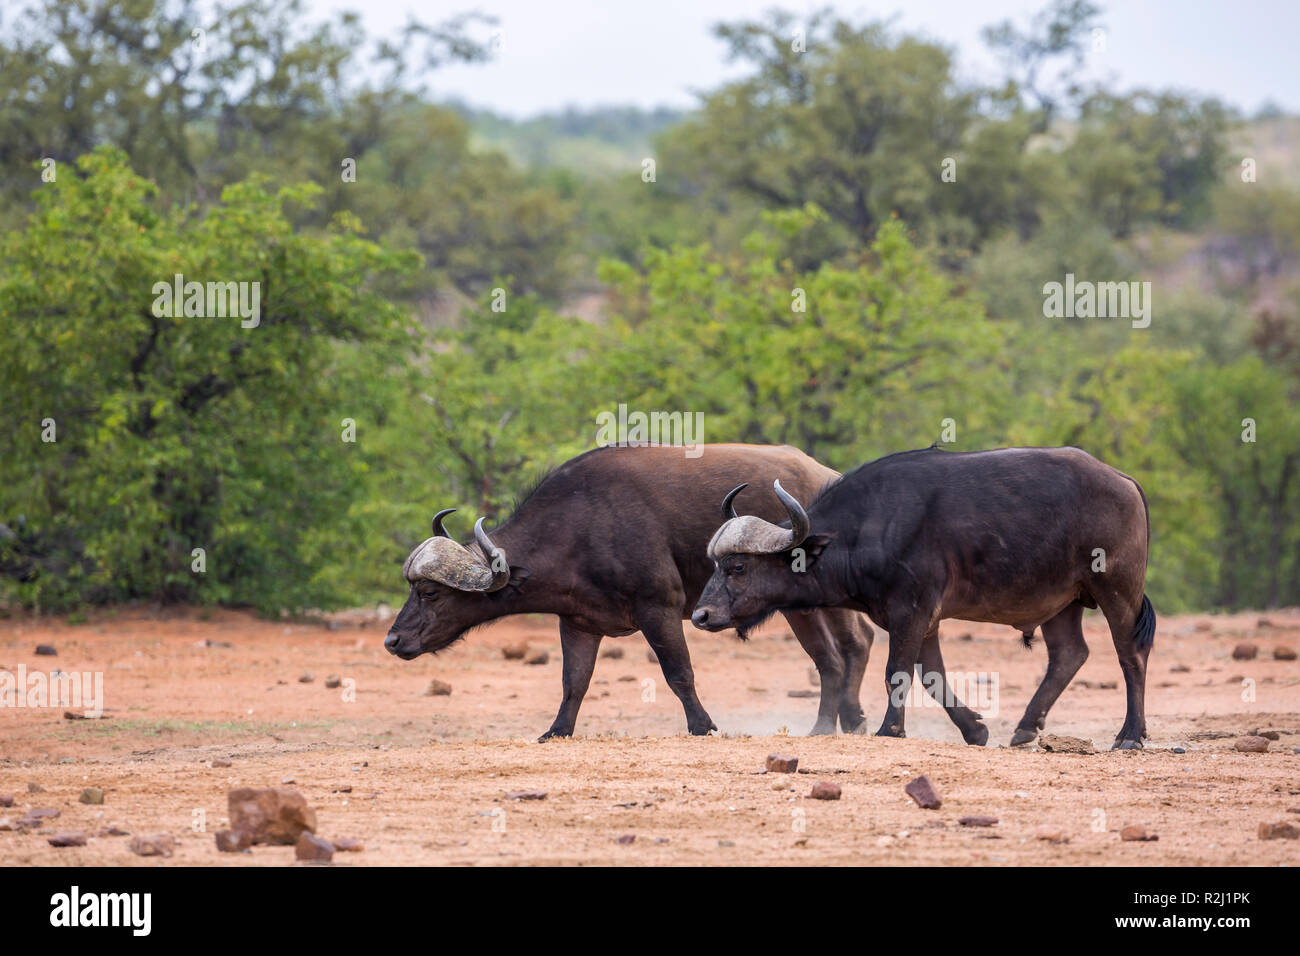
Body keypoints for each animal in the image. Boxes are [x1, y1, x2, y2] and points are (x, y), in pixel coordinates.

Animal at [384, 443, 877, 740]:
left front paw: (703, 725)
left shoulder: (658, 608)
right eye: (412, 588)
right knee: (853, 645)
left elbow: (679, 673)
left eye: (429, 593)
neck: (580, 526)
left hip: (807, 601)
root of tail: (825, 474)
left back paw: (829, 724)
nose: (392, 640)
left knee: (837, 653)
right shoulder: (578, 622)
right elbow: (573, 682)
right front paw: (556, 730)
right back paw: (847, 720)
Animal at [691, 446, 1157, 750]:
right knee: (1069, 655)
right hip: (1062, 601)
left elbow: (897, 672)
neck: (869, 528)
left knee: (1130, 654)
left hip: (1117, 587)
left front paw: (890, 730)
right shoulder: (924, 620)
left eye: (738, 567)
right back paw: (1026, 728)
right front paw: (974, 730)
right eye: (714, 564)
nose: (701, 615)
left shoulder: (911, 611)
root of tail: (1124, 482)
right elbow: (933, 676)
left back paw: (1129, 736)